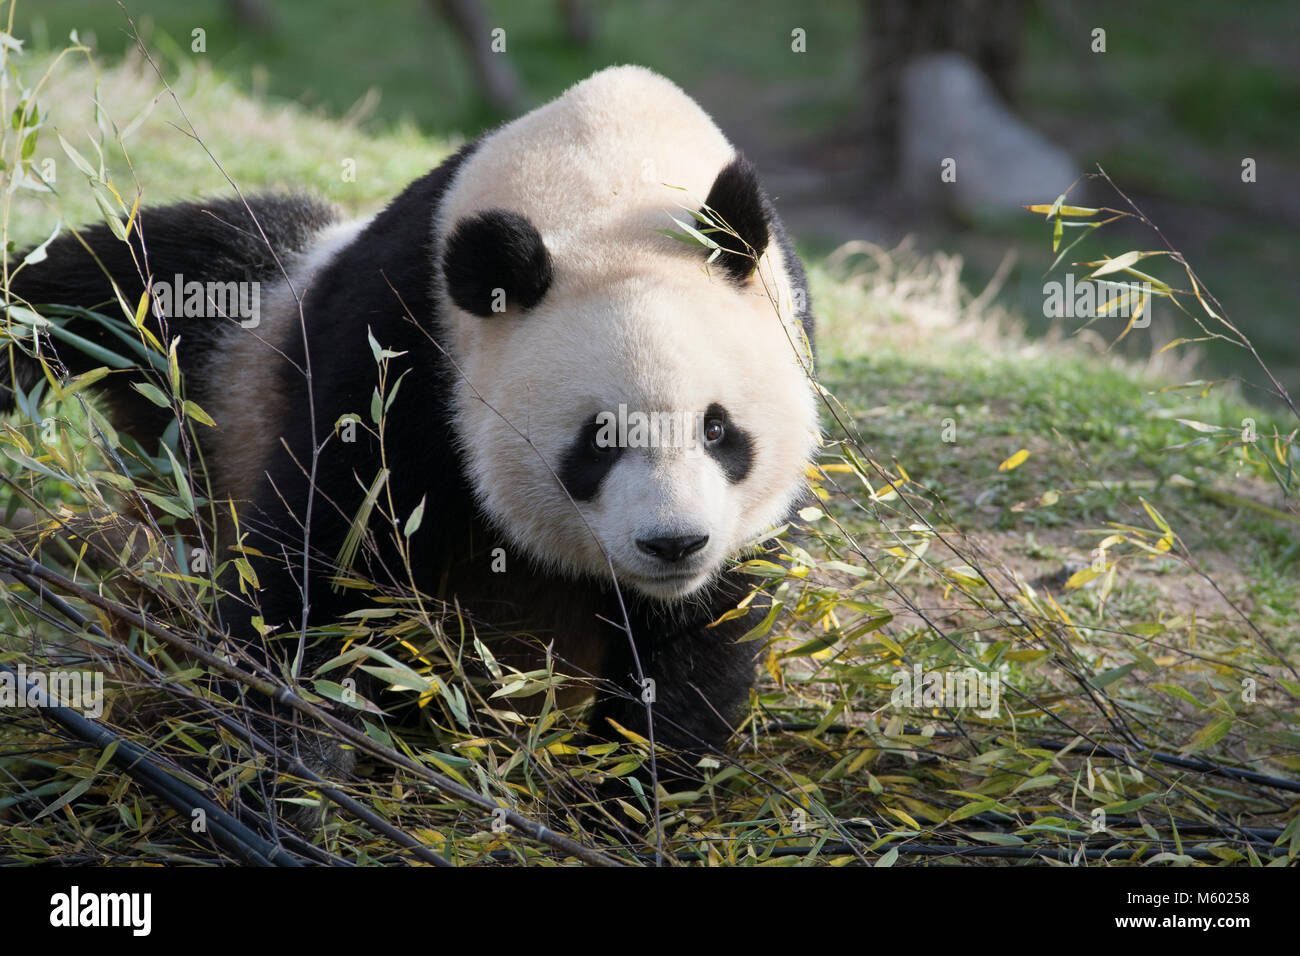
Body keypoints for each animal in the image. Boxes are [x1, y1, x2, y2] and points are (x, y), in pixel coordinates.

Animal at [3, 66, 820, 794]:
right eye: (597, 441)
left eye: (719, 430)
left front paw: (639, 791)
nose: (674, 543)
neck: (608, 189)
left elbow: (699, 635)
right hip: (221, 339)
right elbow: (322, 562)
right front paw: (293, 777)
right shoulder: (401, 348)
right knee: (105, 281)